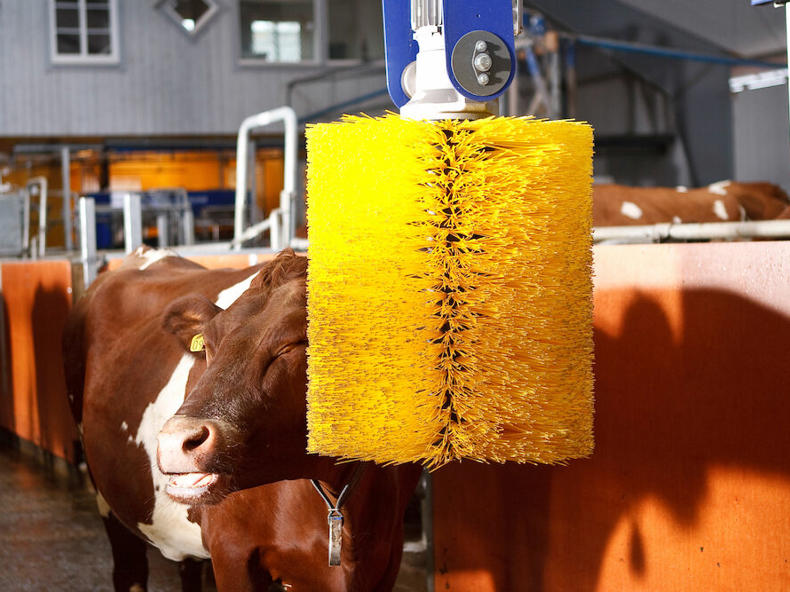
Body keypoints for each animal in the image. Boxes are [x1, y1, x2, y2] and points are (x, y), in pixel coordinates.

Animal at [63, 246, 421, 592]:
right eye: (208, 344)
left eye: (295, 343)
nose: (175, 440)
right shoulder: (232, 552)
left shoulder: (385, 559)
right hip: (108, 499)